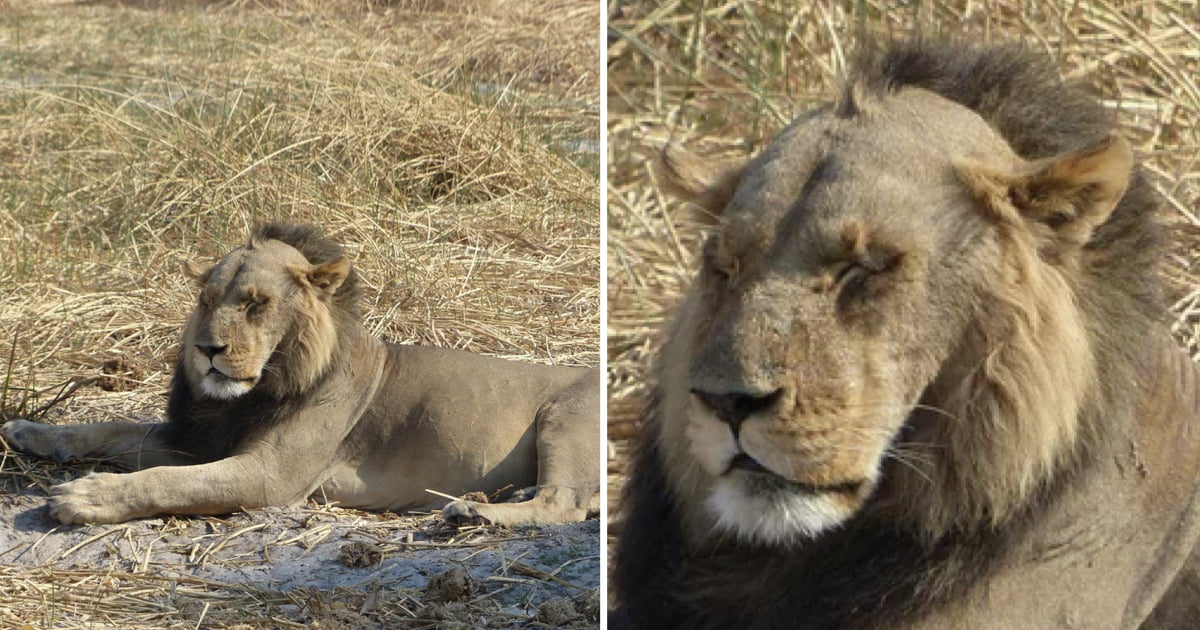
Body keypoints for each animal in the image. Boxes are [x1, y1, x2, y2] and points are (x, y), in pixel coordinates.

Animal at [0, 223, 600, 527]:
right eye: (206, 300)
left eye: (256, 303)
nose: (207, 349)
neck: (252, 391)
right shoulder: (199, 437)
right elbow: (113, 428)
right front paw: (29, 432)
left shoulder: (270, 476)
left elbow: (166, 481)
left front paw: (85, 497)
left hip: (564, 418)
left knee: (566, 504)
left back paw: (475, 514)